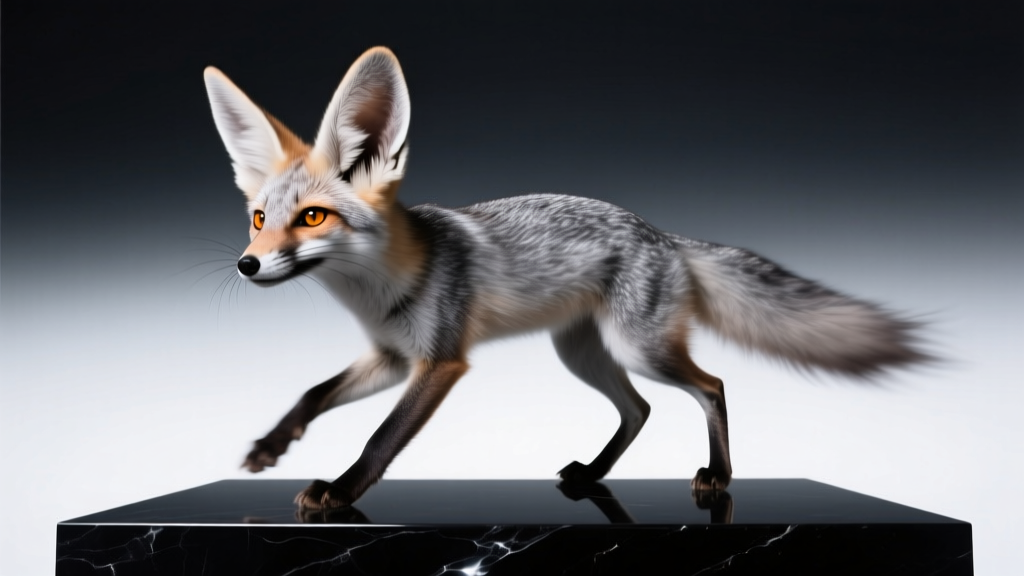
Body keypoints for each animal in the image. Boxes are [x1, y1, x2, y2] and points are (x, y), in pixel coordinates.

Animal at [203, 47, 927, 510]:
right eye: (260, 218)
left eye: (313, 217)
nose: (247, 263)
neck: (378, 292)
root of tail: (662, 233)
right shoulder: (390, 357)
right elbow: (313, 392)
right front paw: (273, 444)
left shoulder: (439, 362)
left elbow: (382, 438)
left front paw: (339, 489)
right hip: (581, 354)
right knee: (639, 408)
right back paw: (592, 474)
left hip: (640, 349)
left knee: (712, 386)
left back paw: (718, 477)